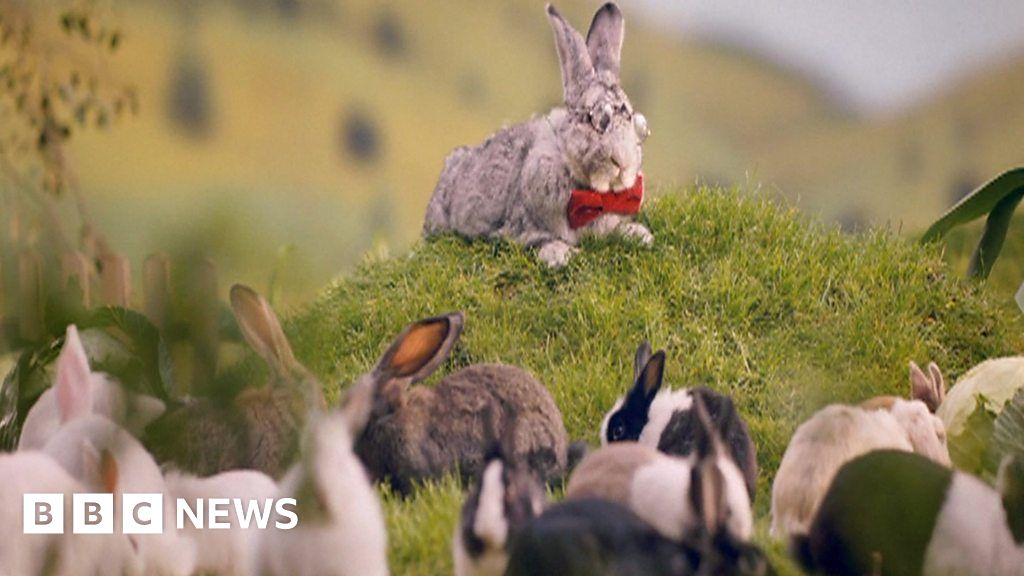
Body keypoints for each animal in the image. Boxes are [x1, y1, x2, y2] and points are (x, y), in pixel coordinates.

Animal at [423, 2, 653, 268]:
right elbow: (542, 242)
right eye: (592, 119)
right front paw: (565, 256)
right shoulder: (521, 231)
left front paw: (641, 235)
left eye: (633, 120)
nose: (623, 163)